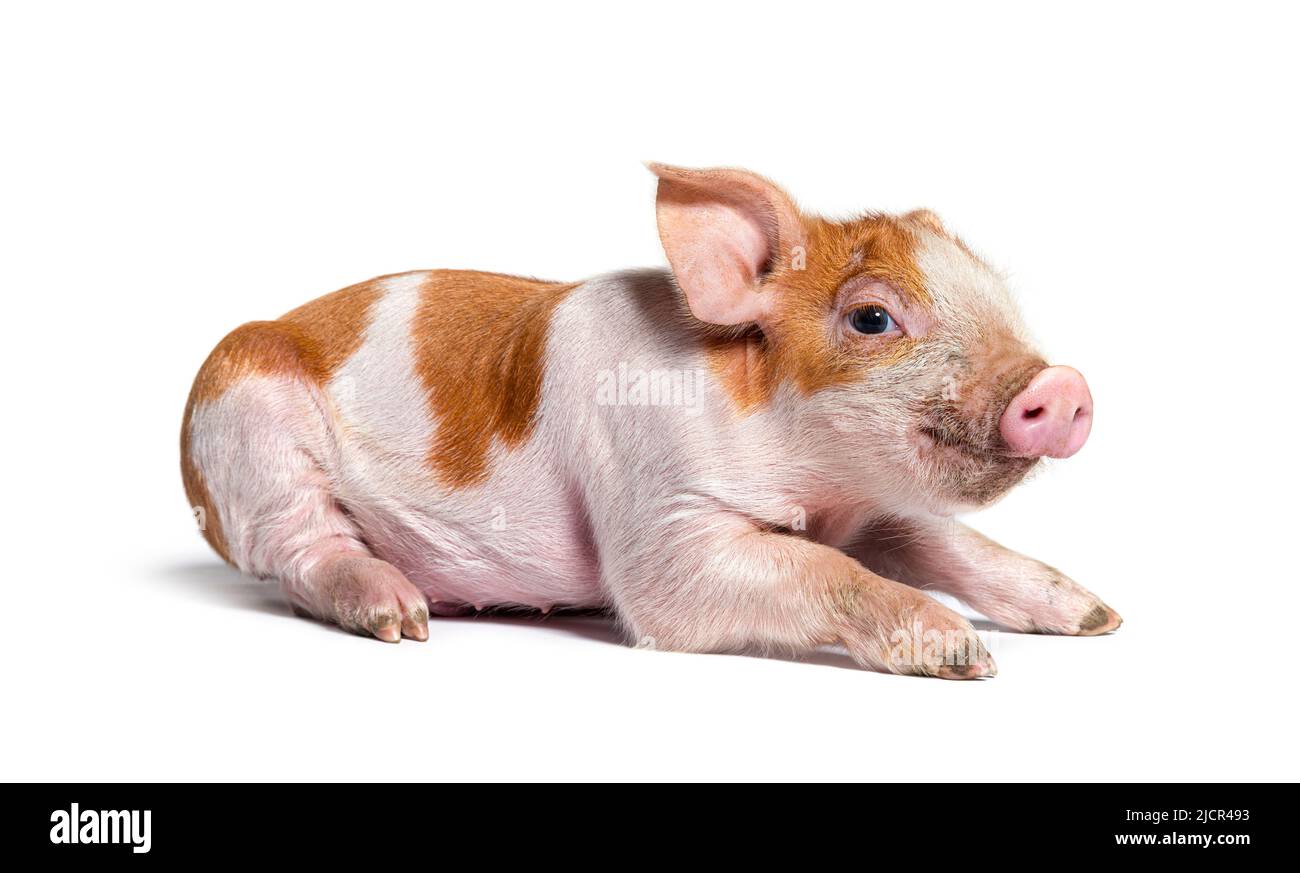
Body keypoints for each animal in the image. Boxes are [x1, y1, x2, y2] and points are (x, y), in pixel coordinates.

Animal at [180, 163, 1119, 679]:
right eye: (872, 318)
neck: (817, 485)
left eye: (999, 294)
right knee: (304, 552)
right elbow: (793, 572)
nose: (1064, 384)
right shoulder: (661, 517)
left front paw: (1095, 618)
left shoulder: (870, 507)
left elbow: (943, 541)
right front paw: (967, 658)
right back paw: (402, 615)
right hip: (248, 428)